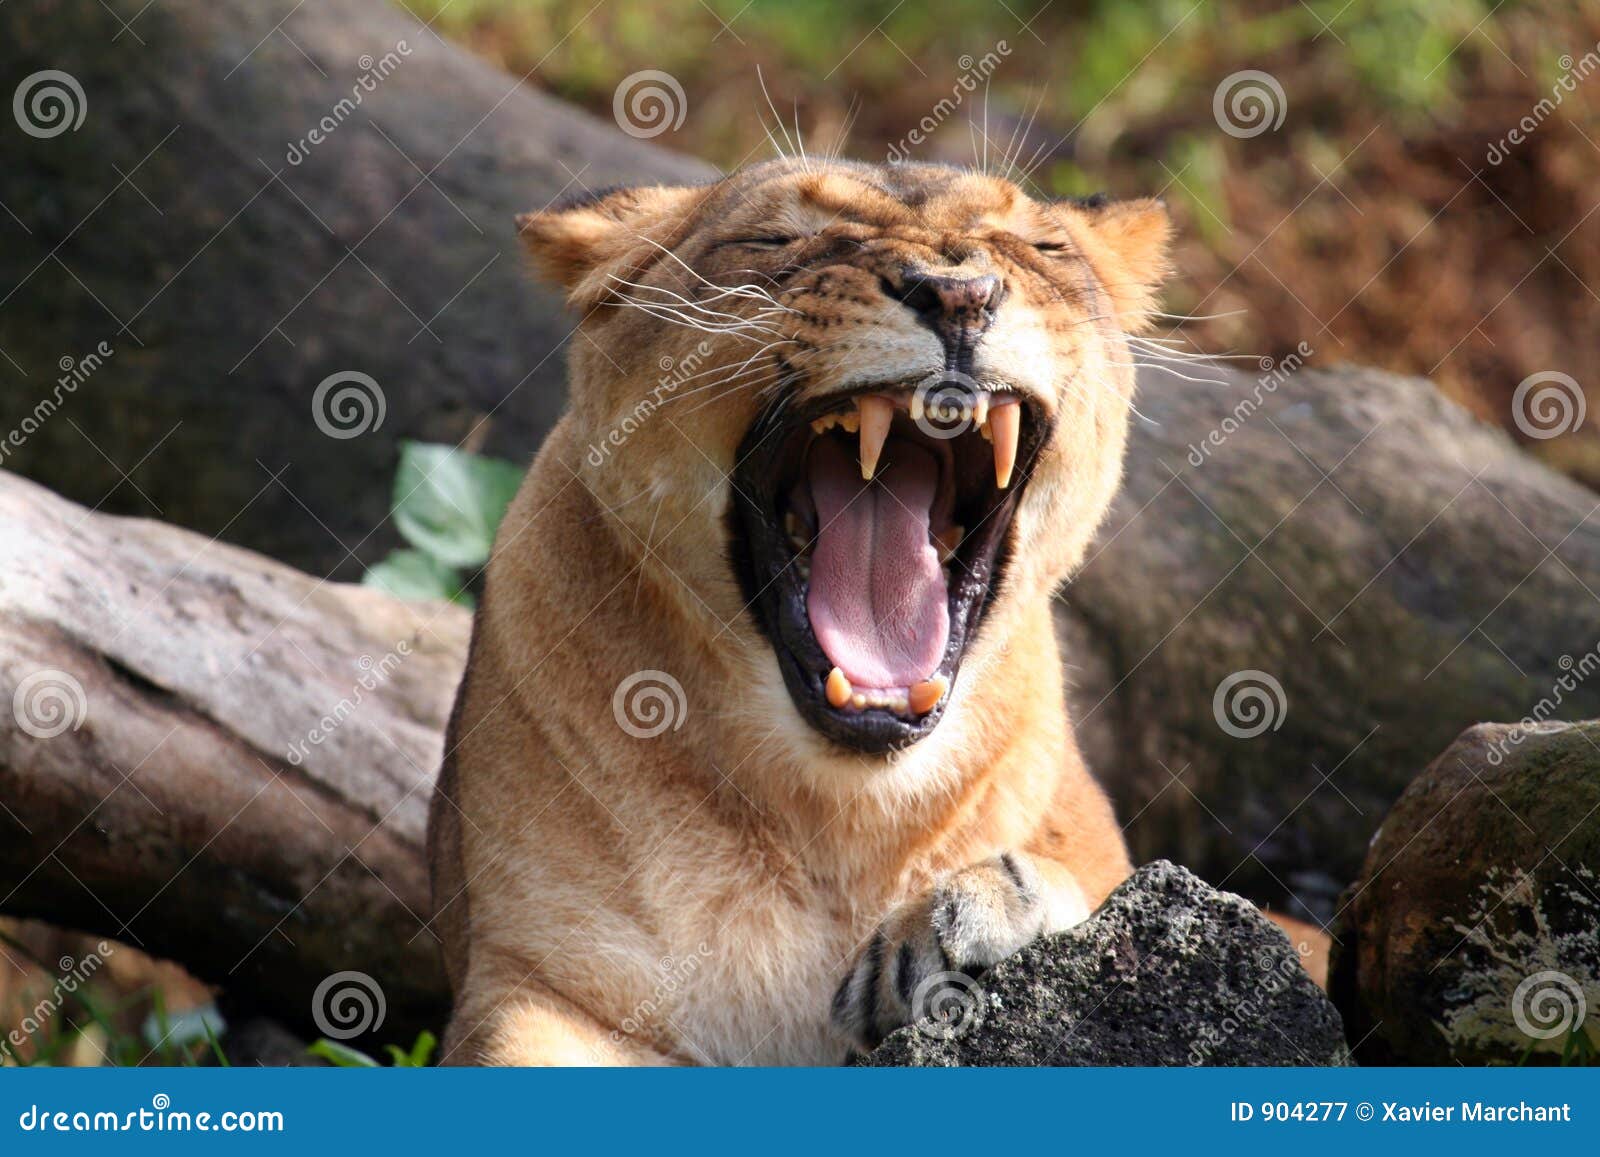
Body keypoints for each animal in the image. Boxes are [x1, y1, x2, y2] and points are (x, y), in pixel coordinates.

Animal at [428, 156, 1175, 1065]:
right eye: (775, 237)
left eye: (1040, 247)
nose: (959, 295)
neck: (839, 815)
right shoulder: (534, 982)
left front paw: (973, 911)